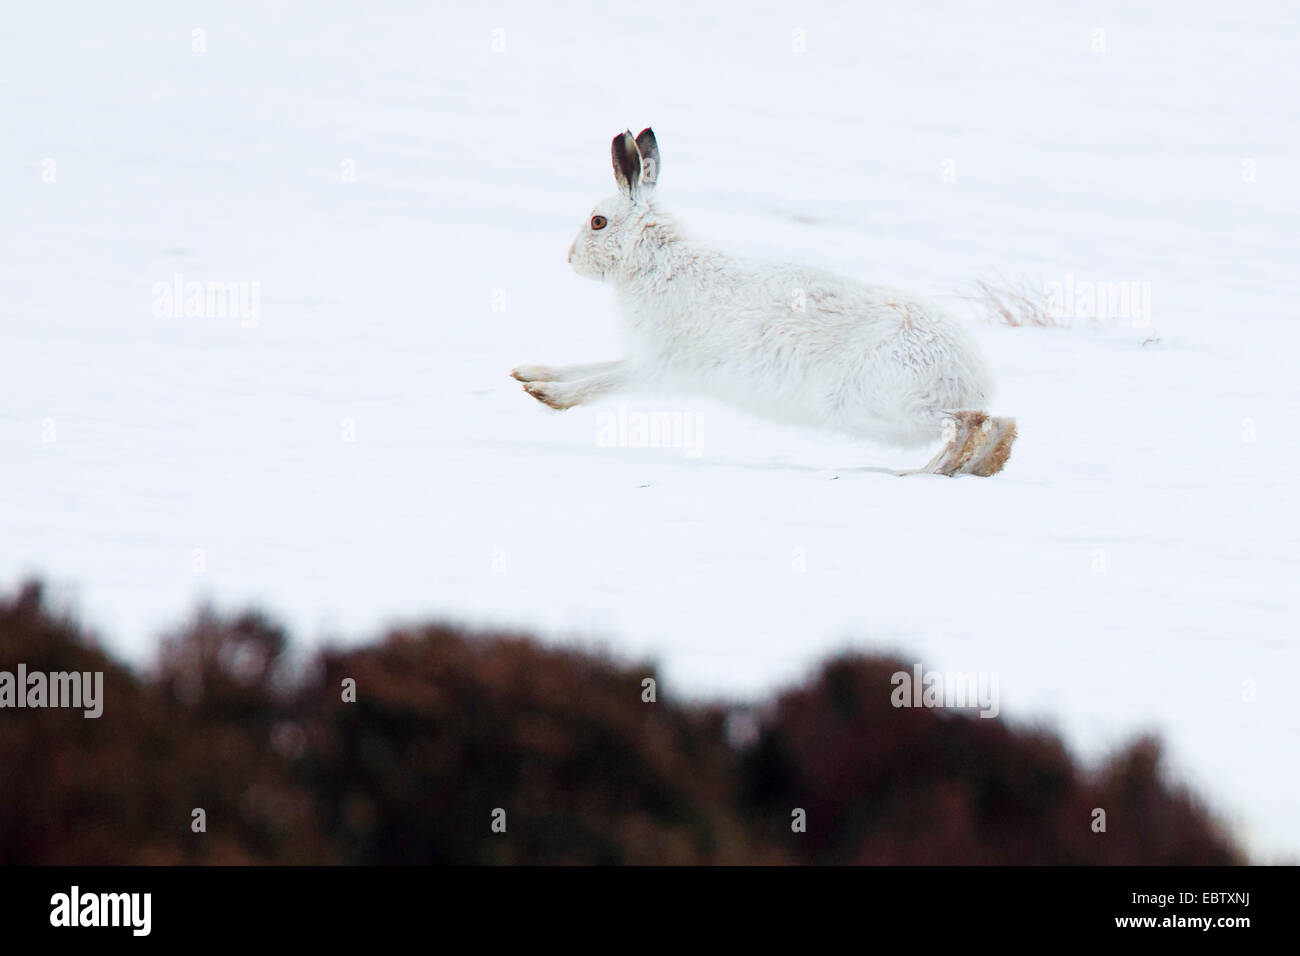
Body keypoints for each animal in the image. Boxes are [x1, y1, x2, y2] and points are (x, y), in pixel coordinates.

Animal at [512, 128, 1017, 477]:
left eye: (598, 222)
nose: (570, 258)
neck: (655, 261)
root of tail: (973, 375)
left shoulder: (662, 366)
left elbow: (603, 383)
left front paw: (548, 397)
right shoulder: (642, 356)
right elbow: (589, 366)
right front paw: (528, 374)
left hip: (877, 404)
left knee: (971, 423)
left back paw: (932, 469)